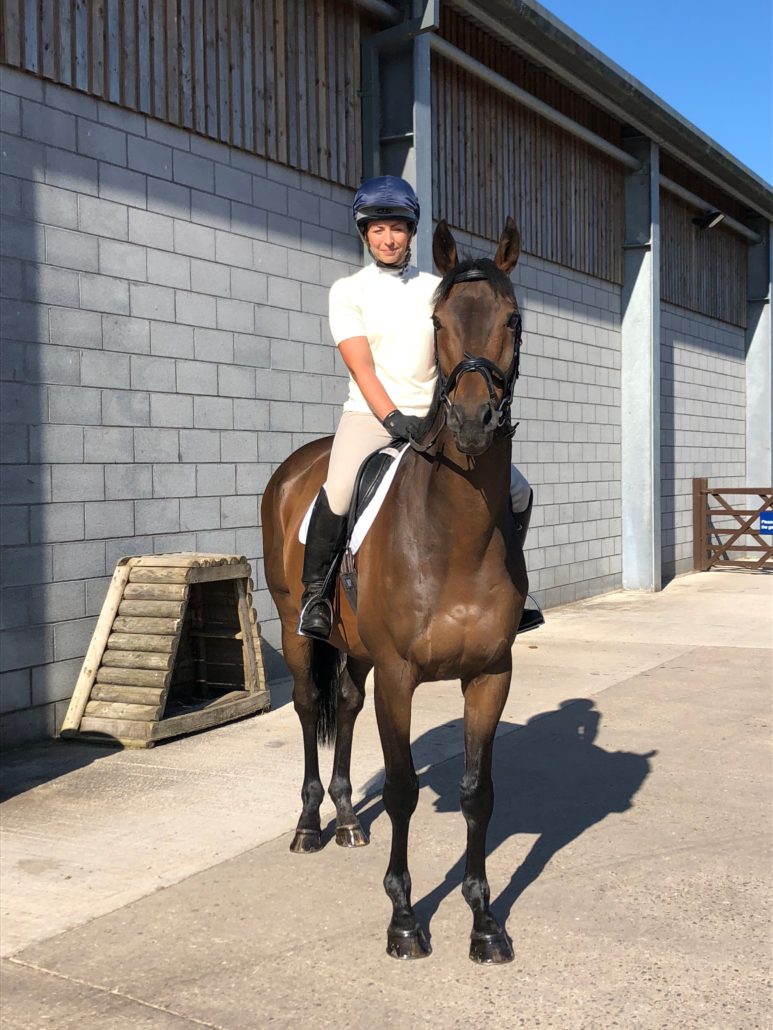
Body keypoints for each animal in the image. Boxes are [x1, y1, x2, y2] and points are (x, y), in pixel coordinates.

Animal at [261, 217, 527, 963]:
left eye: (512, 319)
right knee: (308, 709)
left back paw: (351, 819)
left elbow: (477, 793)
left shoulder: (490, 673)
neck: (454, 534)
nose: (471, 421)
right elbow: (407, 789)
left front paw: (484, 921)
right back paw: (309, 825)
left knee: (346, 707)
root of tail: (298, 466)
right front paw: (405, 919)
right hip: (297, 630)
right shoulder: (401, 676)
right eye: (438, 322)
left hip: (357, 653)